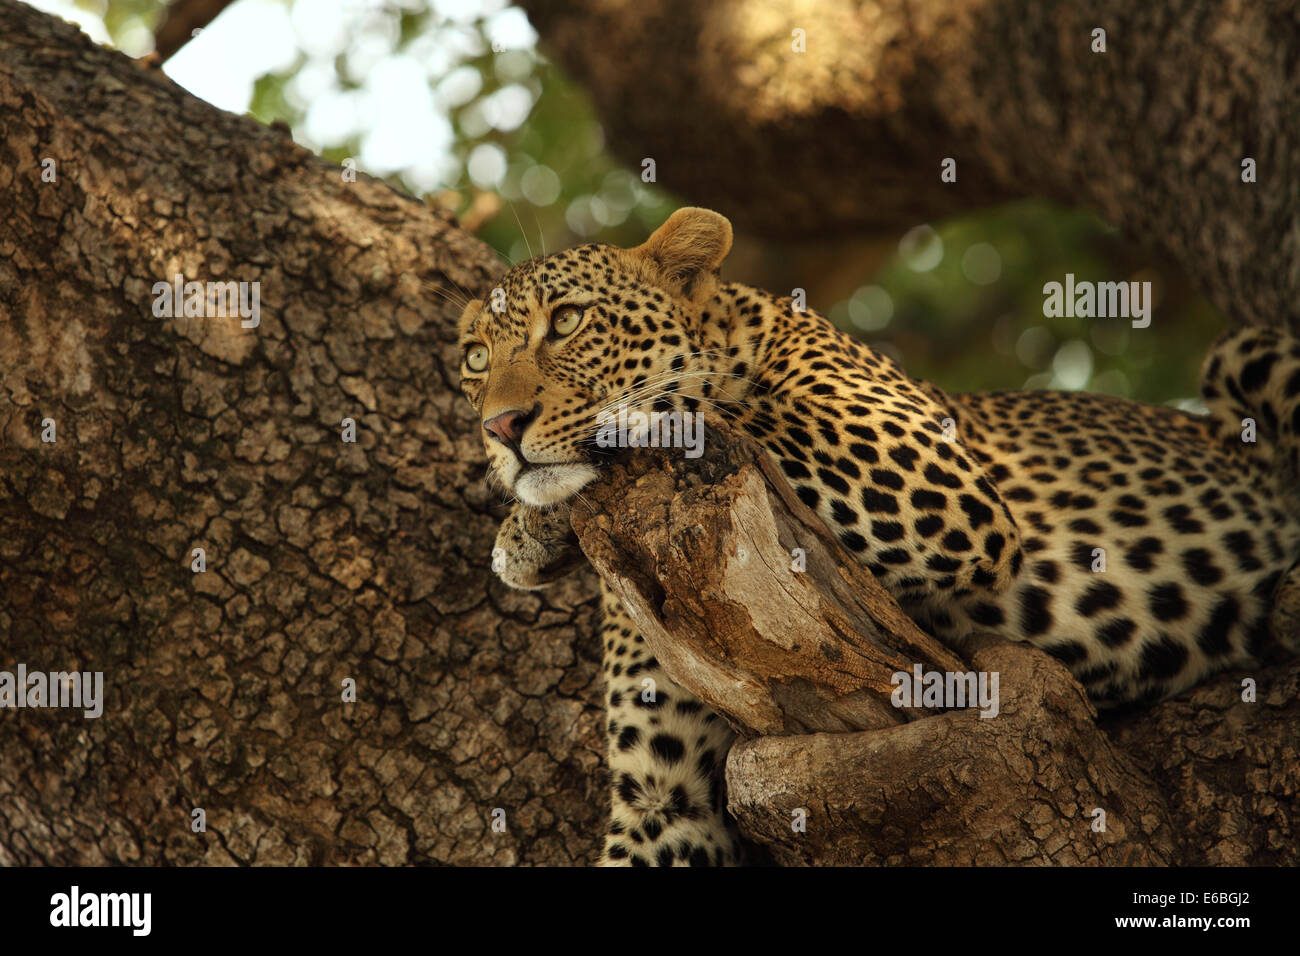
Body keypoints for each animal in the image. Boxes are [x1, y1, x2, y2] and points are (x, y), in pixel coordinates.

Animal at [456, 207, 1300, 867]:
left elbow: (703, 415)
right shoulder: (663, 806)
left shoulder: (938, 485)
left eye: (567, 321)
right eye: (474, 358)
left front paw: (530, 522)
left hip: (1244, 353)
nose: (501, 427)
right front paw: (533, 528)